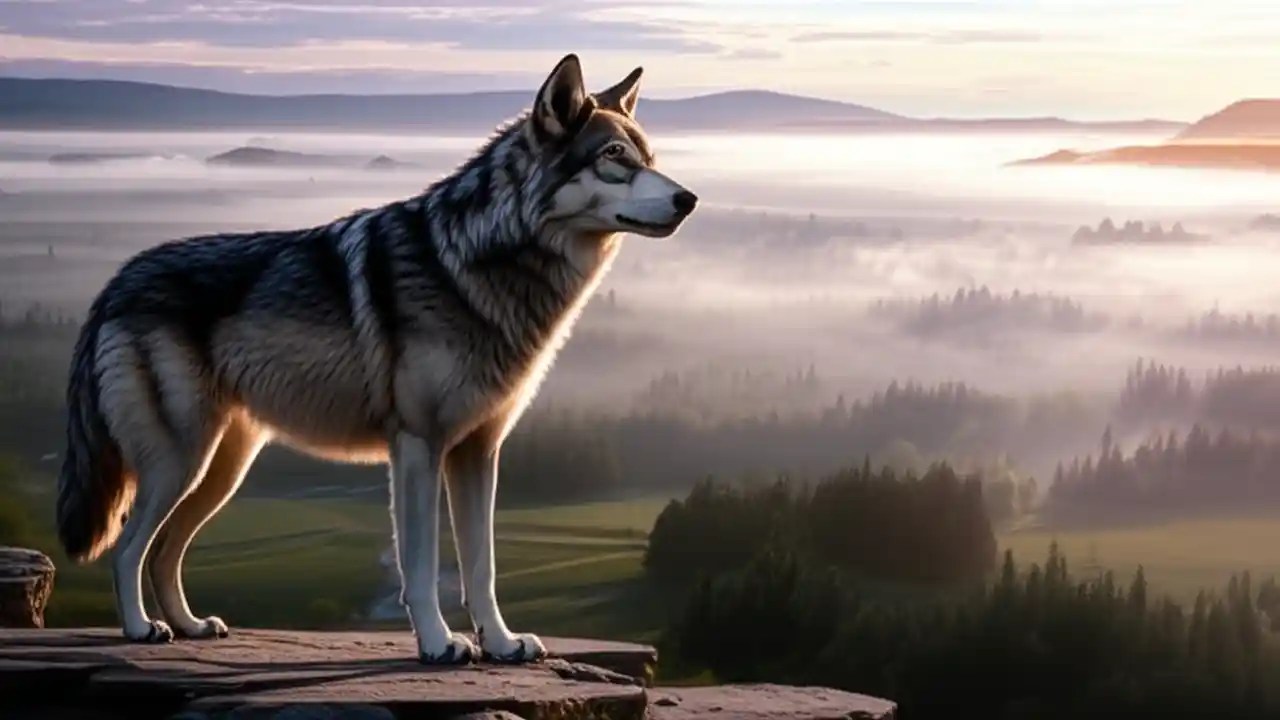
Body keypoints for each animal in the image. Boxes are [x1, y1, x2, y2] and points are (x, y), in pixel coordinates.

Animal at [55, 53, 697, 664]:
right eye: (615, 158)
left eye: (649, 157)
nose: (688, 199)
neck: (479, 261)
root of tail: (114, 283)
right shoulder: (417, 447)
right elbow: (421, 565)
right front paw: (439, 645)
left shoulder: (478, 451)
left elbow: (482, 567)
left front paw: (500, 643)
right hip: (180, 463)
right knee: (128, 548)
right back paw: (141, 629)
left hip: (221, 470)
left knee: (164, 551)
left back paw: (190, 626)